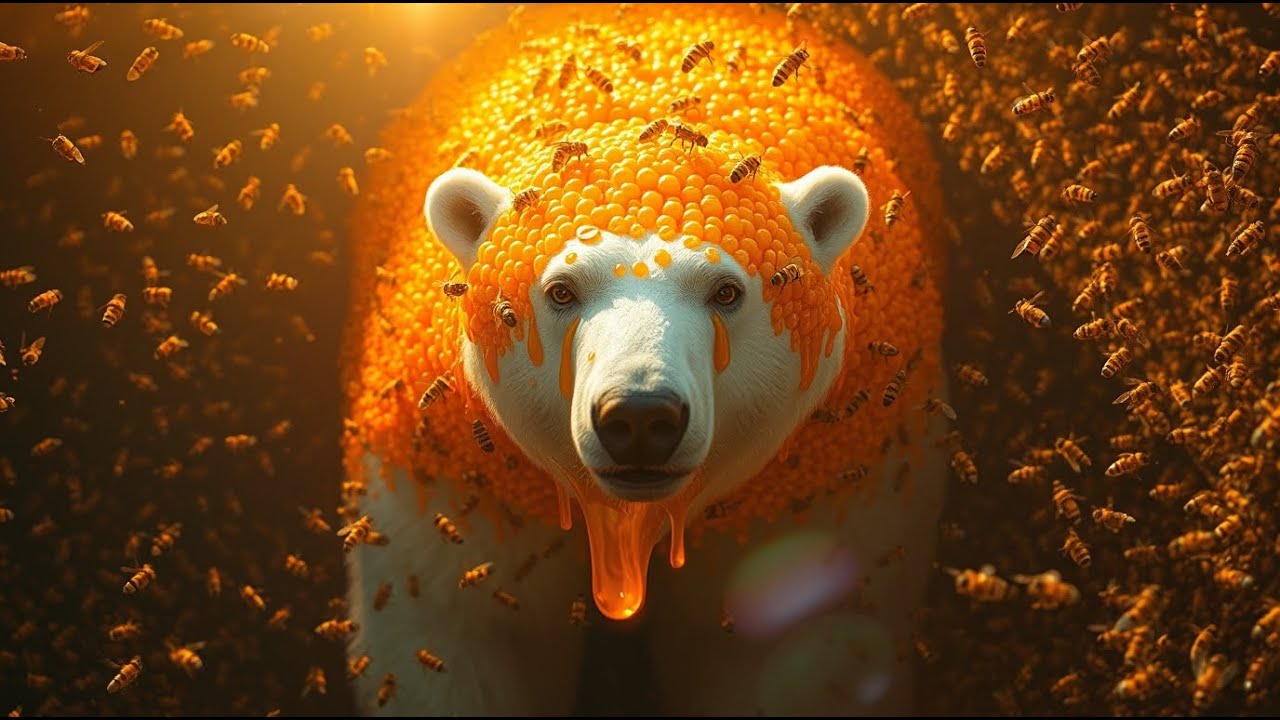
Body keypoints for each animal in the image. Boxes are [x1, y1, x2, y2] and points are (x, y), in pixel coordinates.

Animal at [340, 3, 947, 715]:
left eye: (727, 290)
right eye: (561, 290)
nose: (638, 416)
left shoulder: (829, 479)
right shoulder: (456, 477)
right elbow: (455, 636)